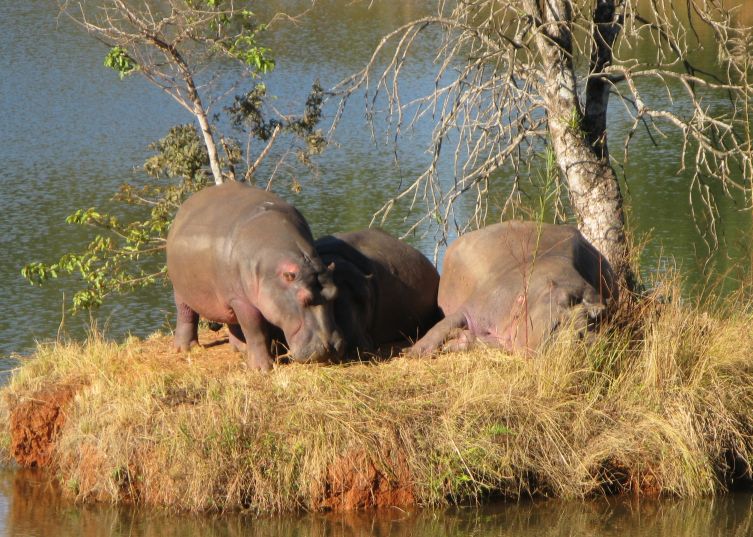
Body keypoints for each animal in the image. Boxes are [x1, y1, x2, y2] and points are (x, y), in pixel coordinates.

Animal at [166, 182, 344, 370]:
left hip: (228, 295)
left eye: (335, 294)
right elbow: (255, 329)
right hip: (182, 290)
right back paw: (186, 348)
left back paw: (241, 349)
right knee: (186, 315)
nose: (331, 347)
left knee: (232, 321)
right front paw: (263, 368)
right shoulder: (243, 302)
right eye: (304, 299)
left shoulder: (246, 298)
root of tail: (185, 208)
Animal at [410, 221, 617, 355]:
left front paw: (460, 339)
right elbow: (440, 329)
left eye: (600, 316)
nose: (585, 336)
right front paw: (413, 352)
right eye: (564, 302)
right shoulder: (475, 309)